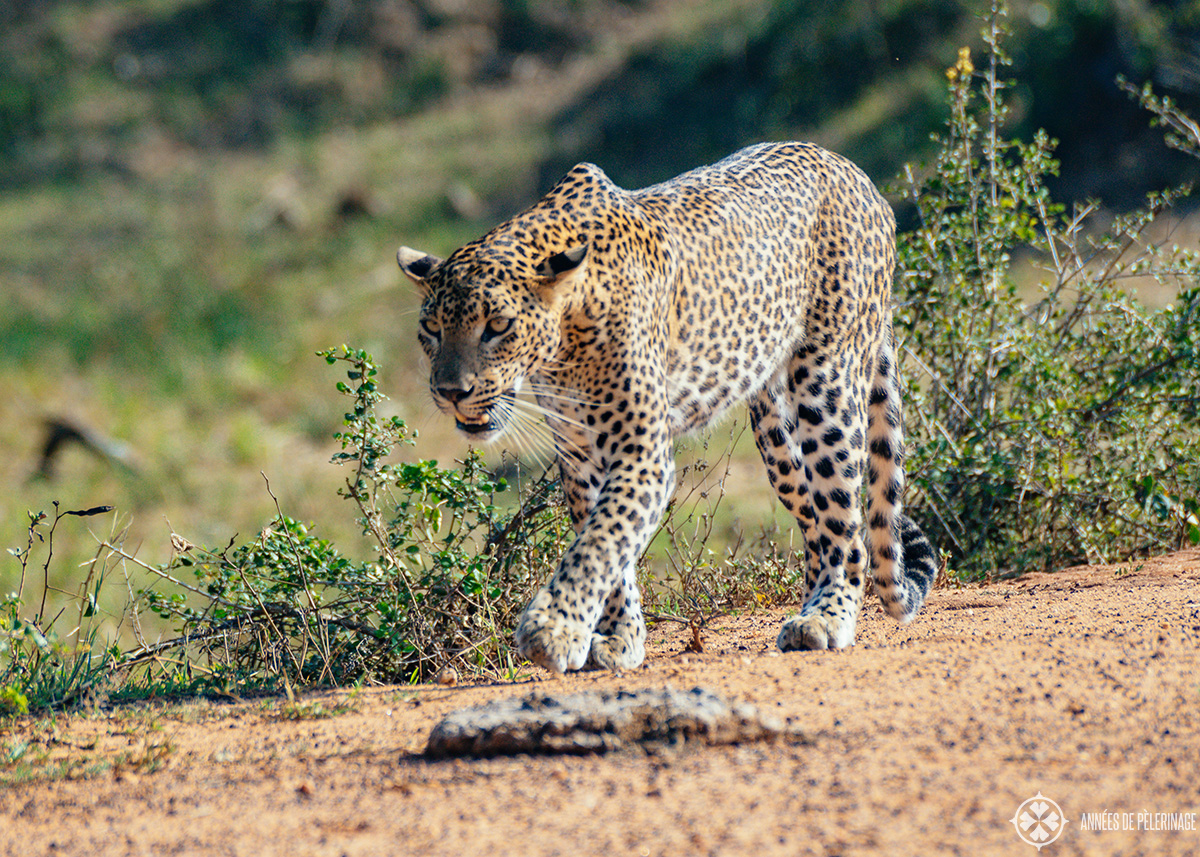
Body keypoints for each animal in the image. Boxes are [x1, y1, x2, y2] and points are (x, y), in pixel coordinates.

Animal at [397, 141, 937, 673]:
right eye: (431, 330)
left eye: (497, 326)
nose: (450, 391)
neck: (565, 340)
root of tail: (852, 170)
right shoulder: (582, 455)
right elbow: (609, 547)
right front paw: (619, 639)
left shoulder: (641, 453)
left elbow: (600, 541)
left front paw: (553, 631)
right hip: (775, 433)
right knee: (815, 519)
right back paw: (809, 605)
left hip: (826, 385)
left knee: (846, 522)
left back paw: (827, 618)